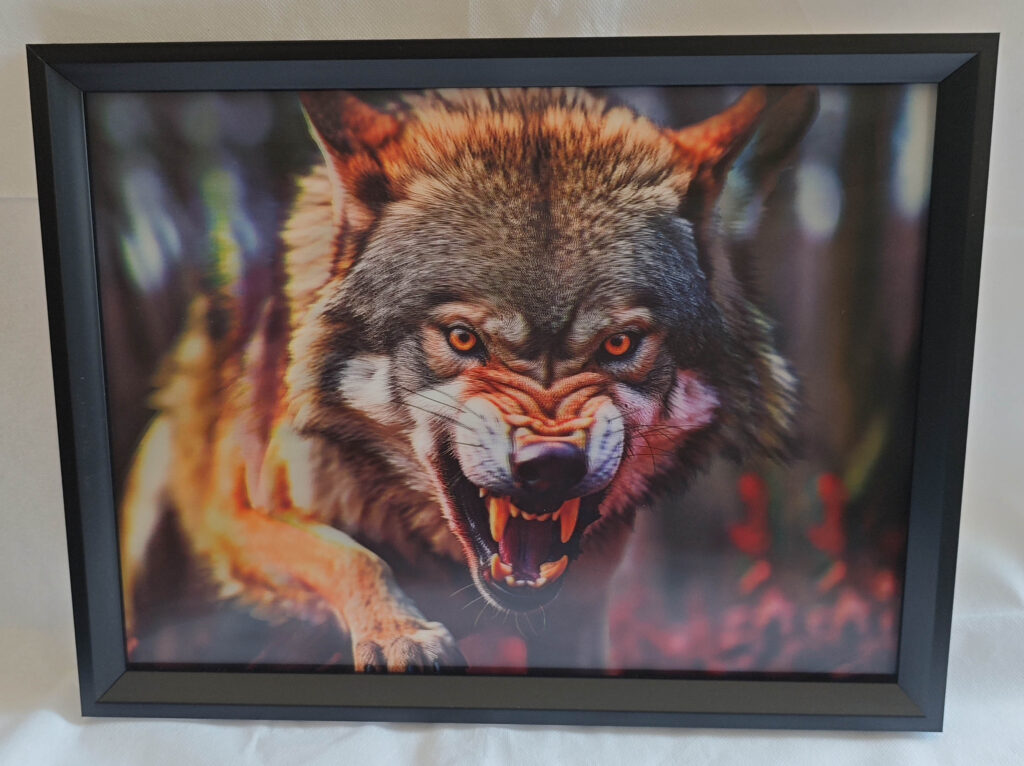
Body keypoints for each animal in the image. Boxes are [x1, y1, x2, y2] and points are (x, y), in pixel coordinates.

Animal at [119, 85, 818, 671]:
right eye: (462, 338)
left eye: (619, 344)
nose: (550, 466)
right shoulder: (237, 519)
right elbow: (354, 557)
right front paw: (401, 634)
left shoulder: (585, 605)